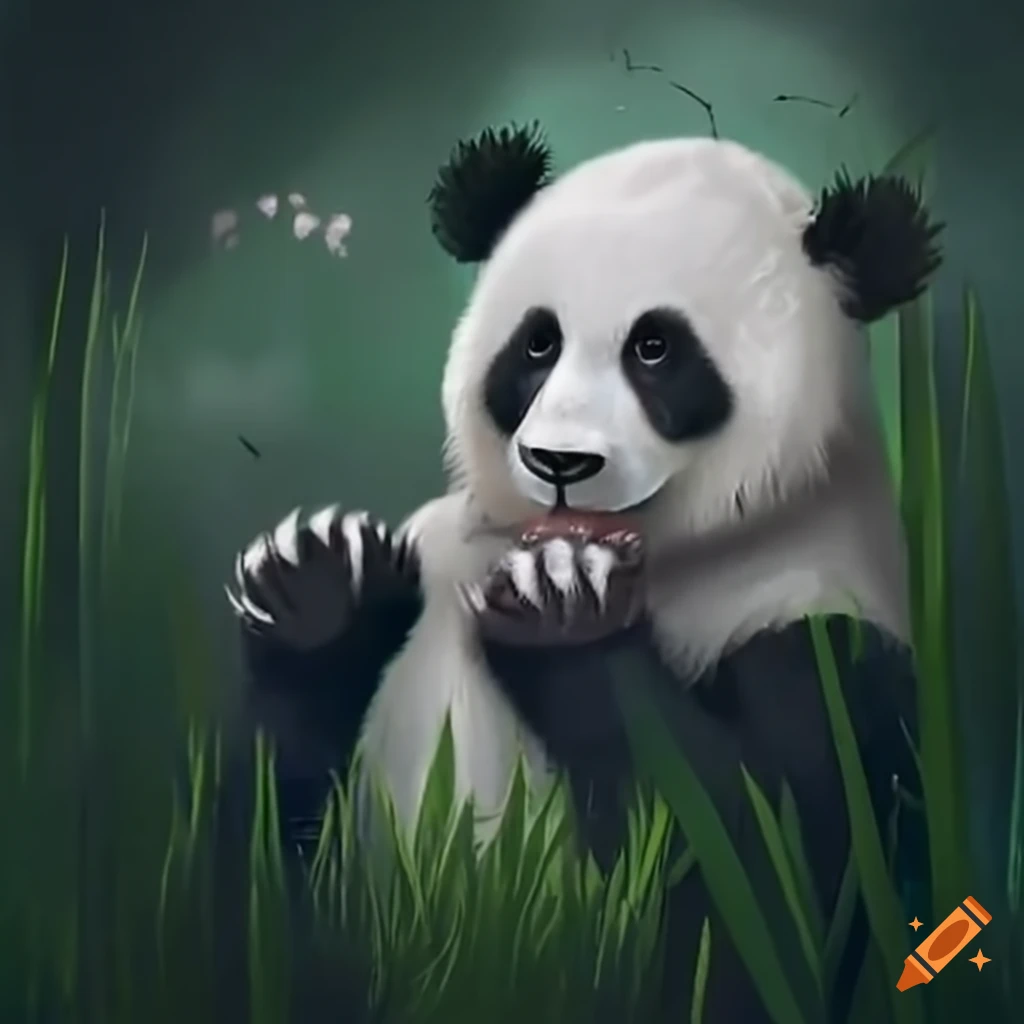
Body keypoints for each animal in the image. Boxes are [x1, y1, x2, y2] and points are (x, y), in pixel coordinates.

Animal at [226, 123, 940, 1021]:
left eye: (655, 349)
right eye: (538, 342)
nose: (558, 462)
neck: (663, 552)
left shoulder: (818, 622)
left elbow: (757, 884)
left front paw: (564, 603)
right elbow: (265, 875)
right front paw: (321, 591)